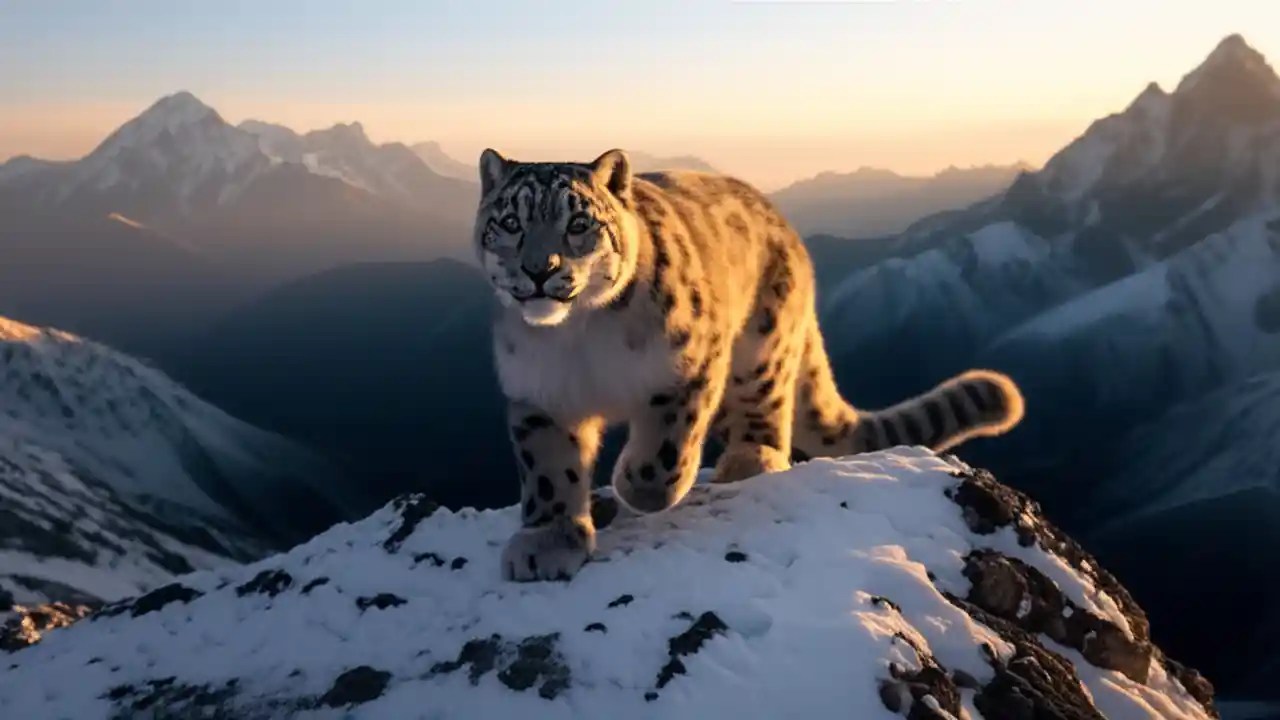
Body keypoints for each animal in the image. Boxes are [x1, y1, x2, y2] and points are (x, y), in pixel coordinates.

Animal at [474, 148, 1024, 581]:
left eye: (579, 224)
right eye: (510, 222)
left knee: (766, 410)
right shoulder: (538, 396)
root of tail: (784, 223)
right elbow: (549, 470)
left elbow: (665, 453)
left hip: (760, 351)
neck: (578, 337)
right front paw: (547, 540)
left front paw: (633, 484)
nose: (538, 270)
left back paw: (749, 459)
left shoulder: (691, 363)